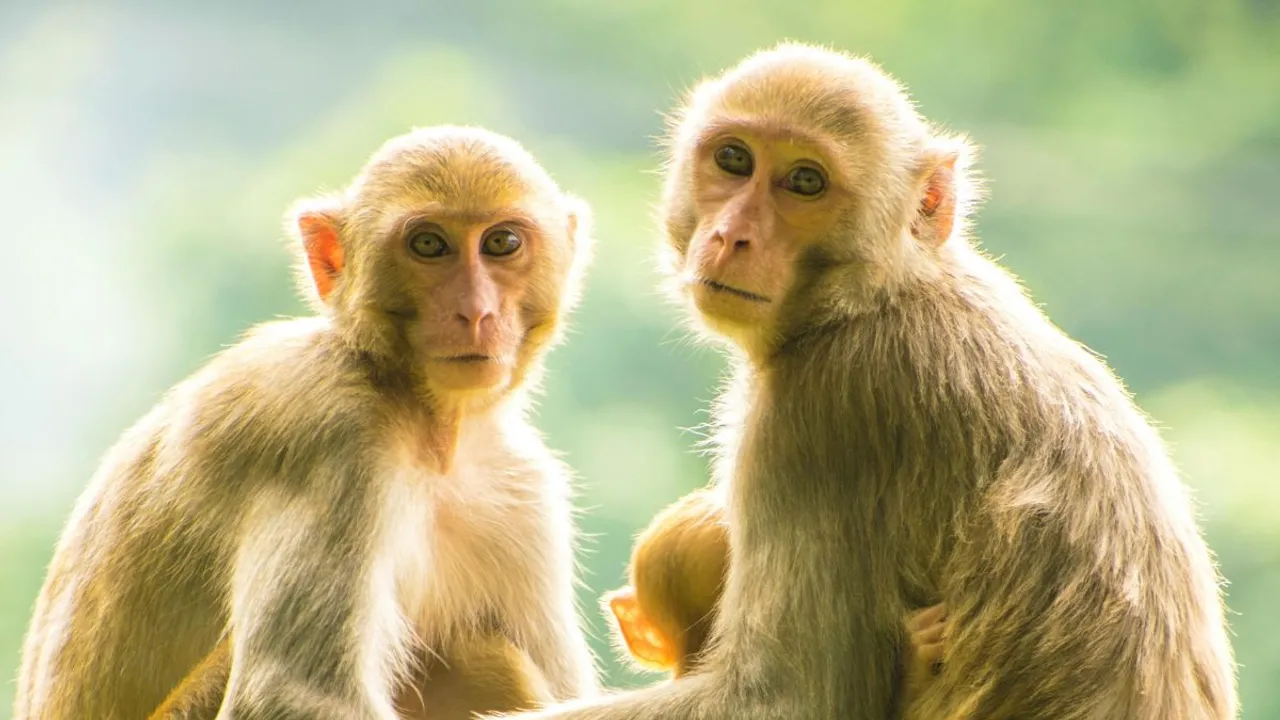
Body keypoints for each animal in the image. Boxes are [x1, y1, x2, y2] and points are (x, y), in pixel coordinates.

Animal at [14, 125, 601, 719]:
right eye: (429, 245)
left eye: (501, 243)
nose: (477, 312)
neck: (424, 422)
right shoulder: (328, 431)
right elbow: (285, 694)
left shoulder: (523, 489)